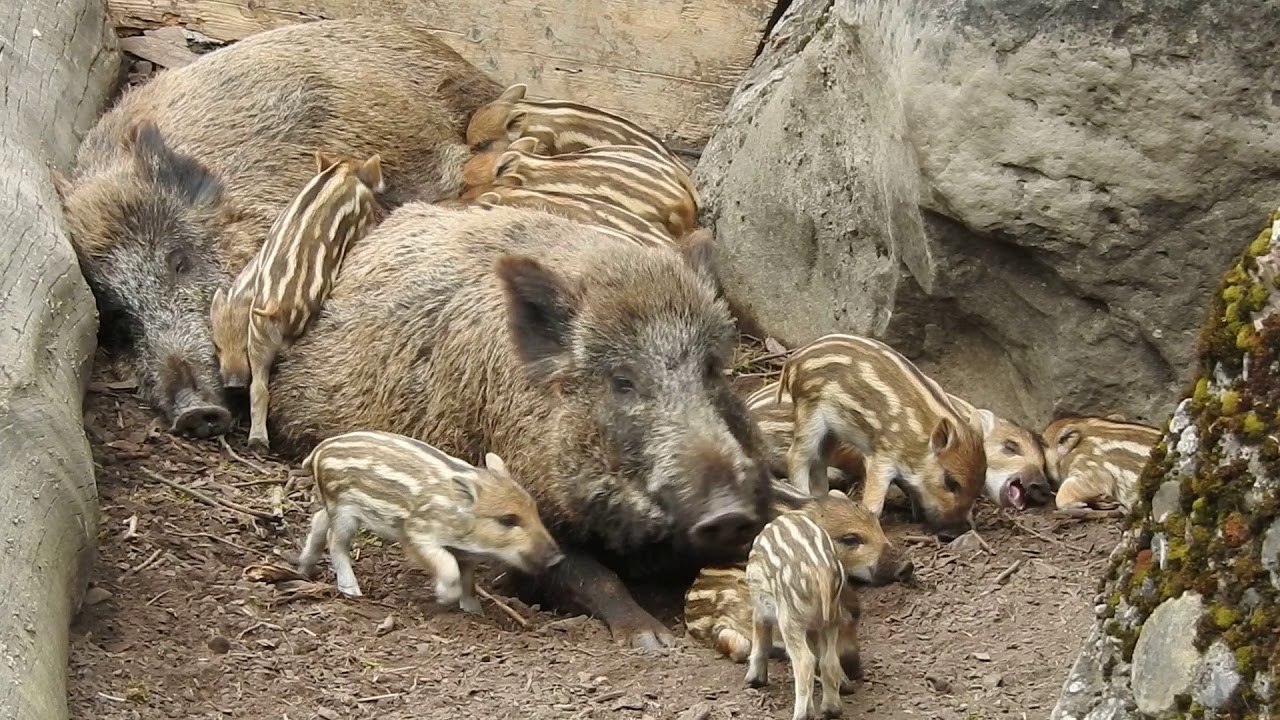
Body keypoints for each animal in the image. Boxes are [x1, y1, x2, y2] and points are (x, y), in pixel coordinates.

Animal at [210, 151, 386, 451]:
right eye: (217, 347)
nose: (231, 385)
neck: (340, 172)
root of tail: (270, 305)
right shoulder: (363, 222)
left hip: (258, 344)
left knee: (259, 389)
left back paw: (258, 442)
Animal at [295, 430, 563, 613]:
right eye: (507, 519)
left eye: (534, 510)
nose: (557, 558)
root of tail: (317, 451)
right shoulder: (416, 534)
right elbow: (448, 567)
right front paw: (444, 598)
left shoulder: (466, 553)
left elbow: (468, 579)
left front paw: (474, 612)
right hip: (344, 510)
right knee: (335, 541)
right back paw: (352, 591)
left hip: (334, 506)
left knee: (318, 519)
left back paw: (303, 569)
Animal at [744, 511, 849, 720]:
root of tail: (821, 571)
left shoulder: (760, 609)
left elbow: (761, 640)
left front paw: (753, 681)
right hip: (831, 618)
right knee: (829, 660)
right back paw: (831, 709)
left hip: (790, 620)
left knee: (805, 661)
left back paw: (802, 715)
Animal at [776, 334, 990, 539]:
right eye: (950, 482)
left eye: (980, 484)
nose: (951, 533)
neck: (918, 439)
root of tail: (793, 361)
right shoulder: (882, 455)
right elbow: (874, 504)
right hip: (809, 416)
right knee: (797, 456)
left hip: (831, 432)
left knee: (819, 460)